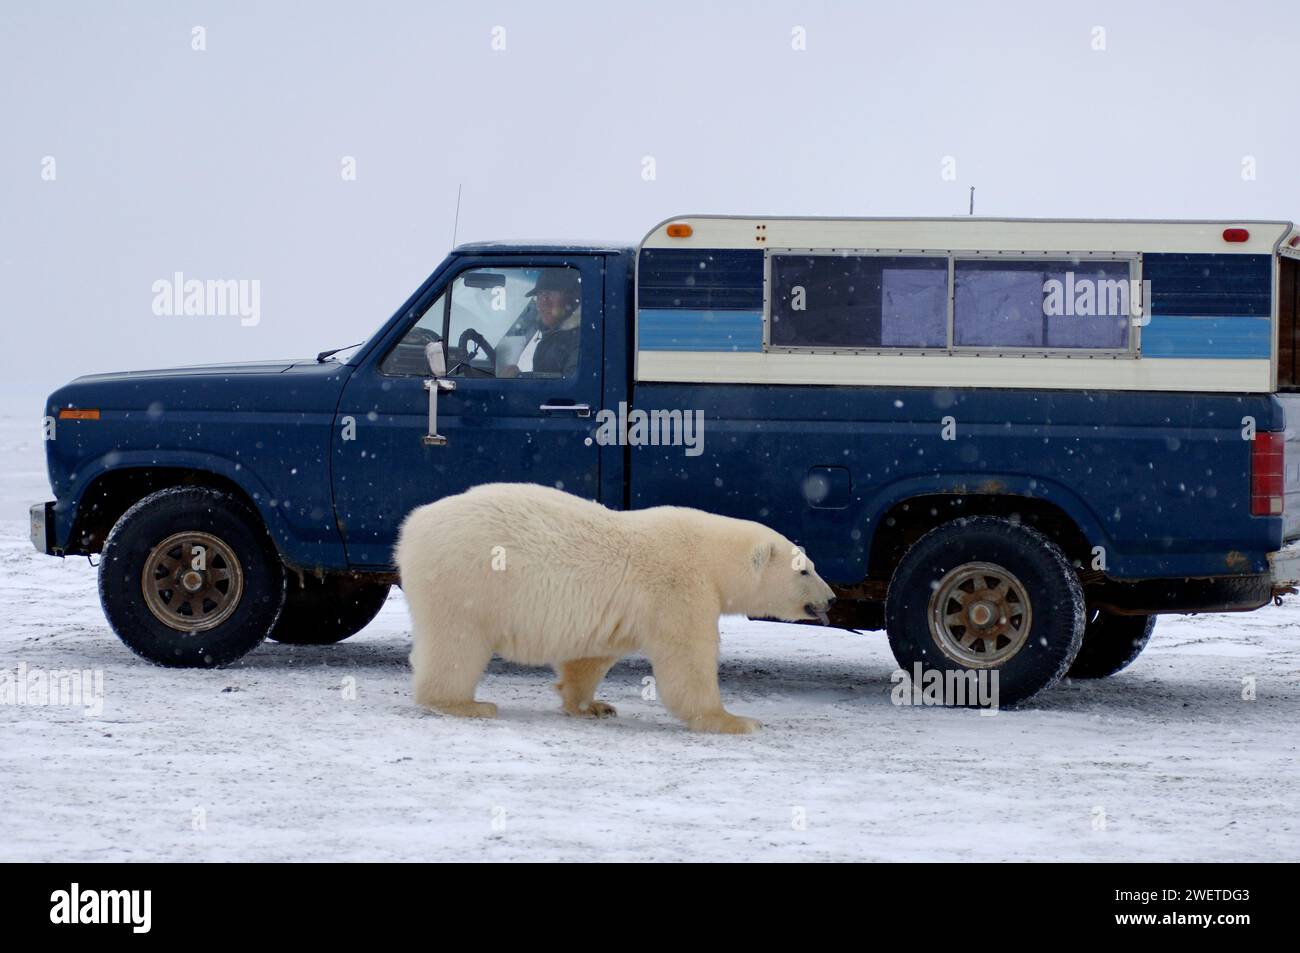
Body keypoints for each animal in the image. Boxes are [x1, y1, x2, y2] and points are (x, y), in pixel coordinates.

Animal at [395, 482, 836, 734]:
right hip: (468, 580)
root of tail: (411, 527)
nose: (831, 598)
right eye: (804, 568)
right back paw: (465, 703)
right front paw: (735, 720)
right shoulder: (679, 587)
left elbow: (590, 656)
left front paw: (591, 705)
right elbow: (688, 660)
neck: (711, 555)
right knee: (457, 643)